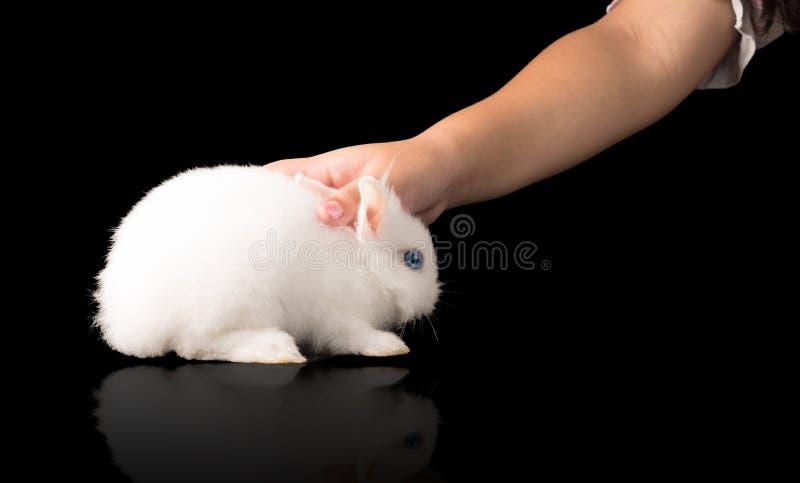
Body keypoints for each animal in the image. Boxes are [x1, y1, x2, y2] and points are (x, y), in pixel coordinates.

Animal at [94, 165, 440, 363]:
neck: (365, 267)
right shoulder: (337, 317)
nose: (431, 302)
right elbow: (351, 336)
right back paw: (276, 350)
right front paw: (389, 346)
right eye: (414, 260)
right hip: (240, 299)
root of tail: (127, 323)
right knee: (194, 345)